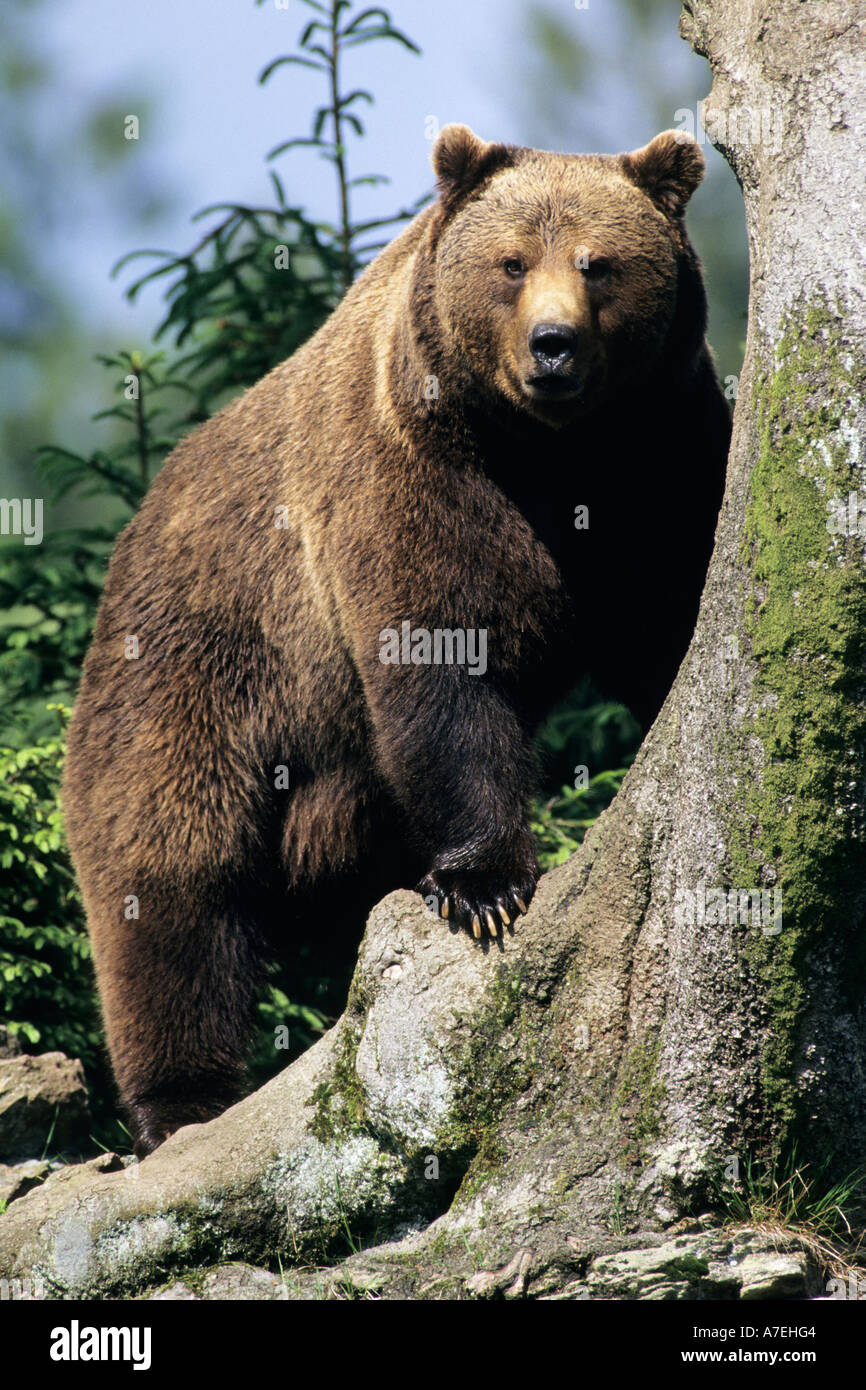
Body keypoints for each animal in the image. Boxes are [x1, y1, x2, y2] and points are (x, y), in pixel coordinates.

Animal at [62, 125, 731, 1156]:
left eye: (600, 264)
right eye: (511, 263)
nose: (553, 346)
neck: (550, 452)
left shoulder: (661, 454)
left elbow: (668, 615)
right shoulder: (411, 475)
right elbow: (440, 672)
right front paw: (487, 887)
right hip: (197, 675)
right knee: (172, 877)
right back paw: (183, 1099)